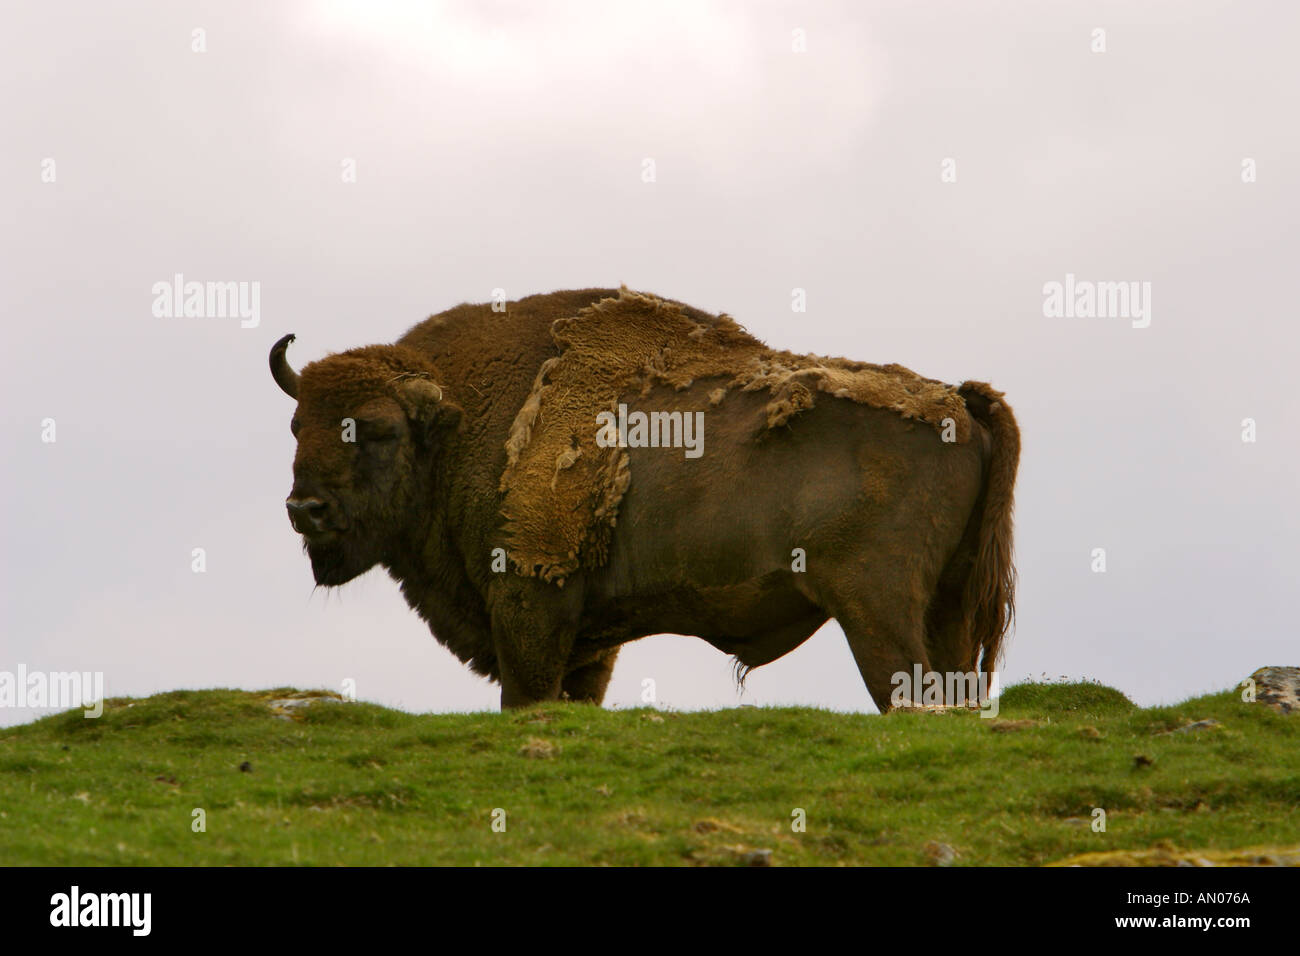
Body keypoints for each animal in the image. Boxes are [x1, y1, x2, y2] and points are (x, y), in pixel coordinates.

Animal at [270, 288, 1019, 711]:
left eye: (378, 428)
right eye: (297, 424)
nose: (305, 511)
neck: (458, 420)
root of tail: (960, 404)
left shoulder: (529, 604)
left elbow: (526, 696)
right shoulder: (585, 639)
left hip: (876, 607)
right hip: (948, 608)